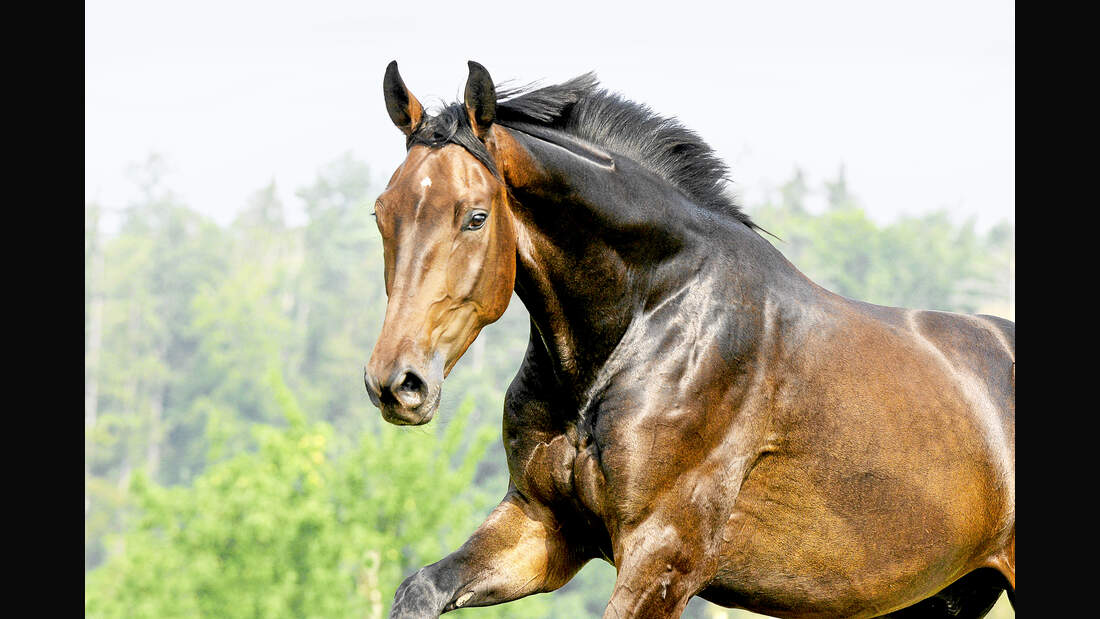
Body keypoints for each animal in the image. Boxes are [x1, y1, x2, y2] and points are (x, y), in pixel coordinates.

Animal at [363, 61, 1015, 619]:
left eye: (475, 216)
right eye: (381, 213)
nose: (398, 384)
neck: (652, 317)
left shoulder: (661, 557)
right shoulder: (543, 526)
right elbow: (420, 589)